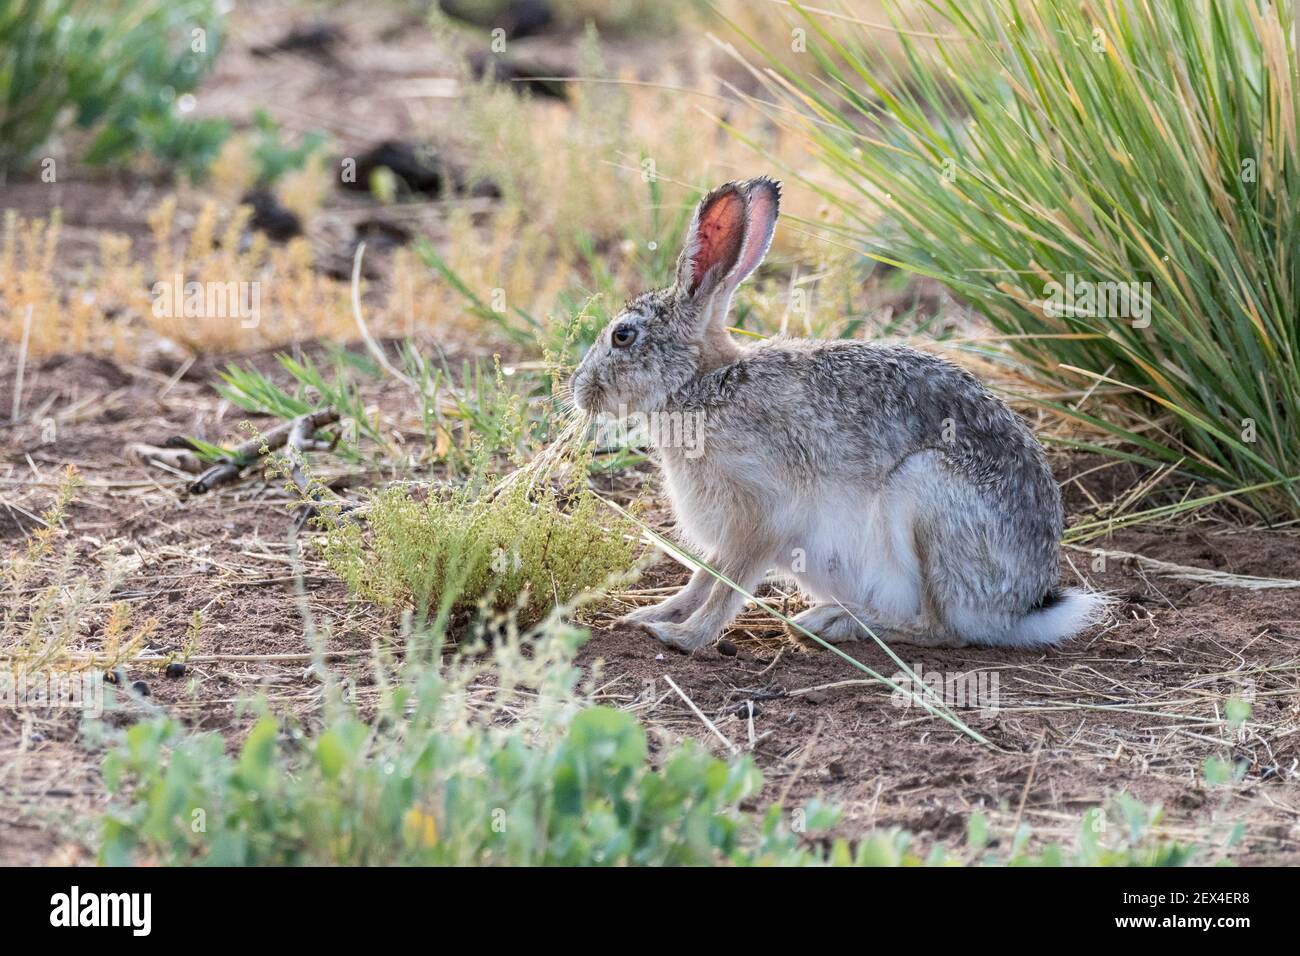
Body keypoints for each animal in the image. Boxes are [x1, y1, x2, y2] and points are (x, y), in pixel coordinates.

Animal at [570, 176, 1105, 653]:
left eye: (622, 335)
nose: (578, 391)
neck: (700, 384)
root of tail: (1022, 607)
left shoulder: (762, 516)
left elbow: (728, 586)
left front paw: (683, 637)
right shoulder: (728, 532)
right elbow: (702, 578)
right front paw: (650, 614)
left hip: (928, 496)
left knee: (941, 628)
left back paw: (831, 624)